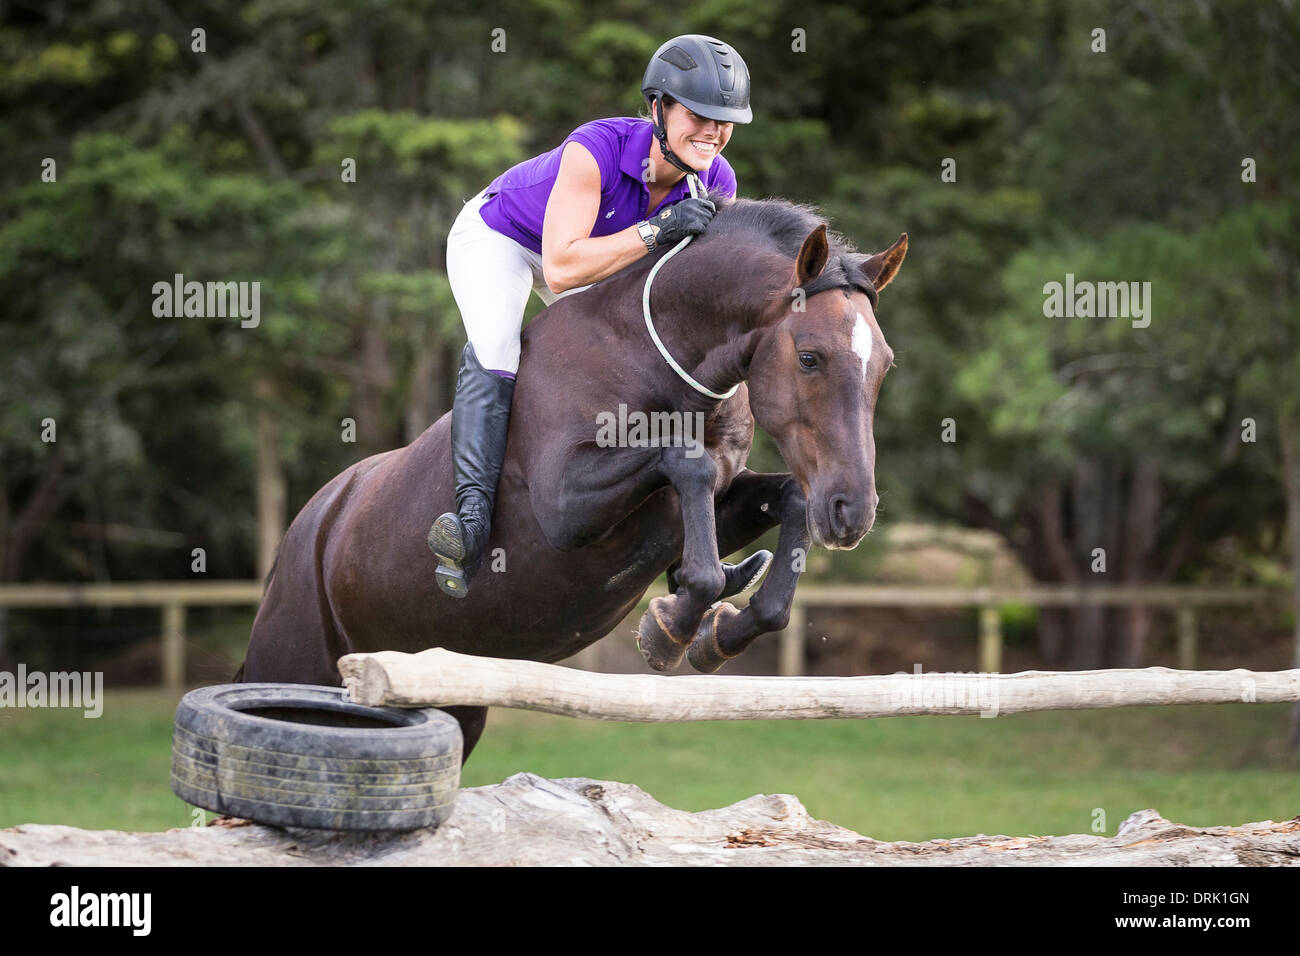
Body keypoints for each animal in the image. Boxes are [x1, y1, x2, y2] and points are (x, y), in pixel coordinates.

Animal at [238, 192, 907, 762]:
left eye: (884, 366)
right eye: (809, 358)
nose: (851, 513)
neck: (660, 356)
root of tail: (310, 526)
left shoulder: (717, 496)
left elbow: (786, 497)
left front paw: (718, 630)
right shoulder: (565, 506)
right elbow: (684, 463)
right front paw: (672, 624)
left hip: (456, 701)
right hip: (295, 666)